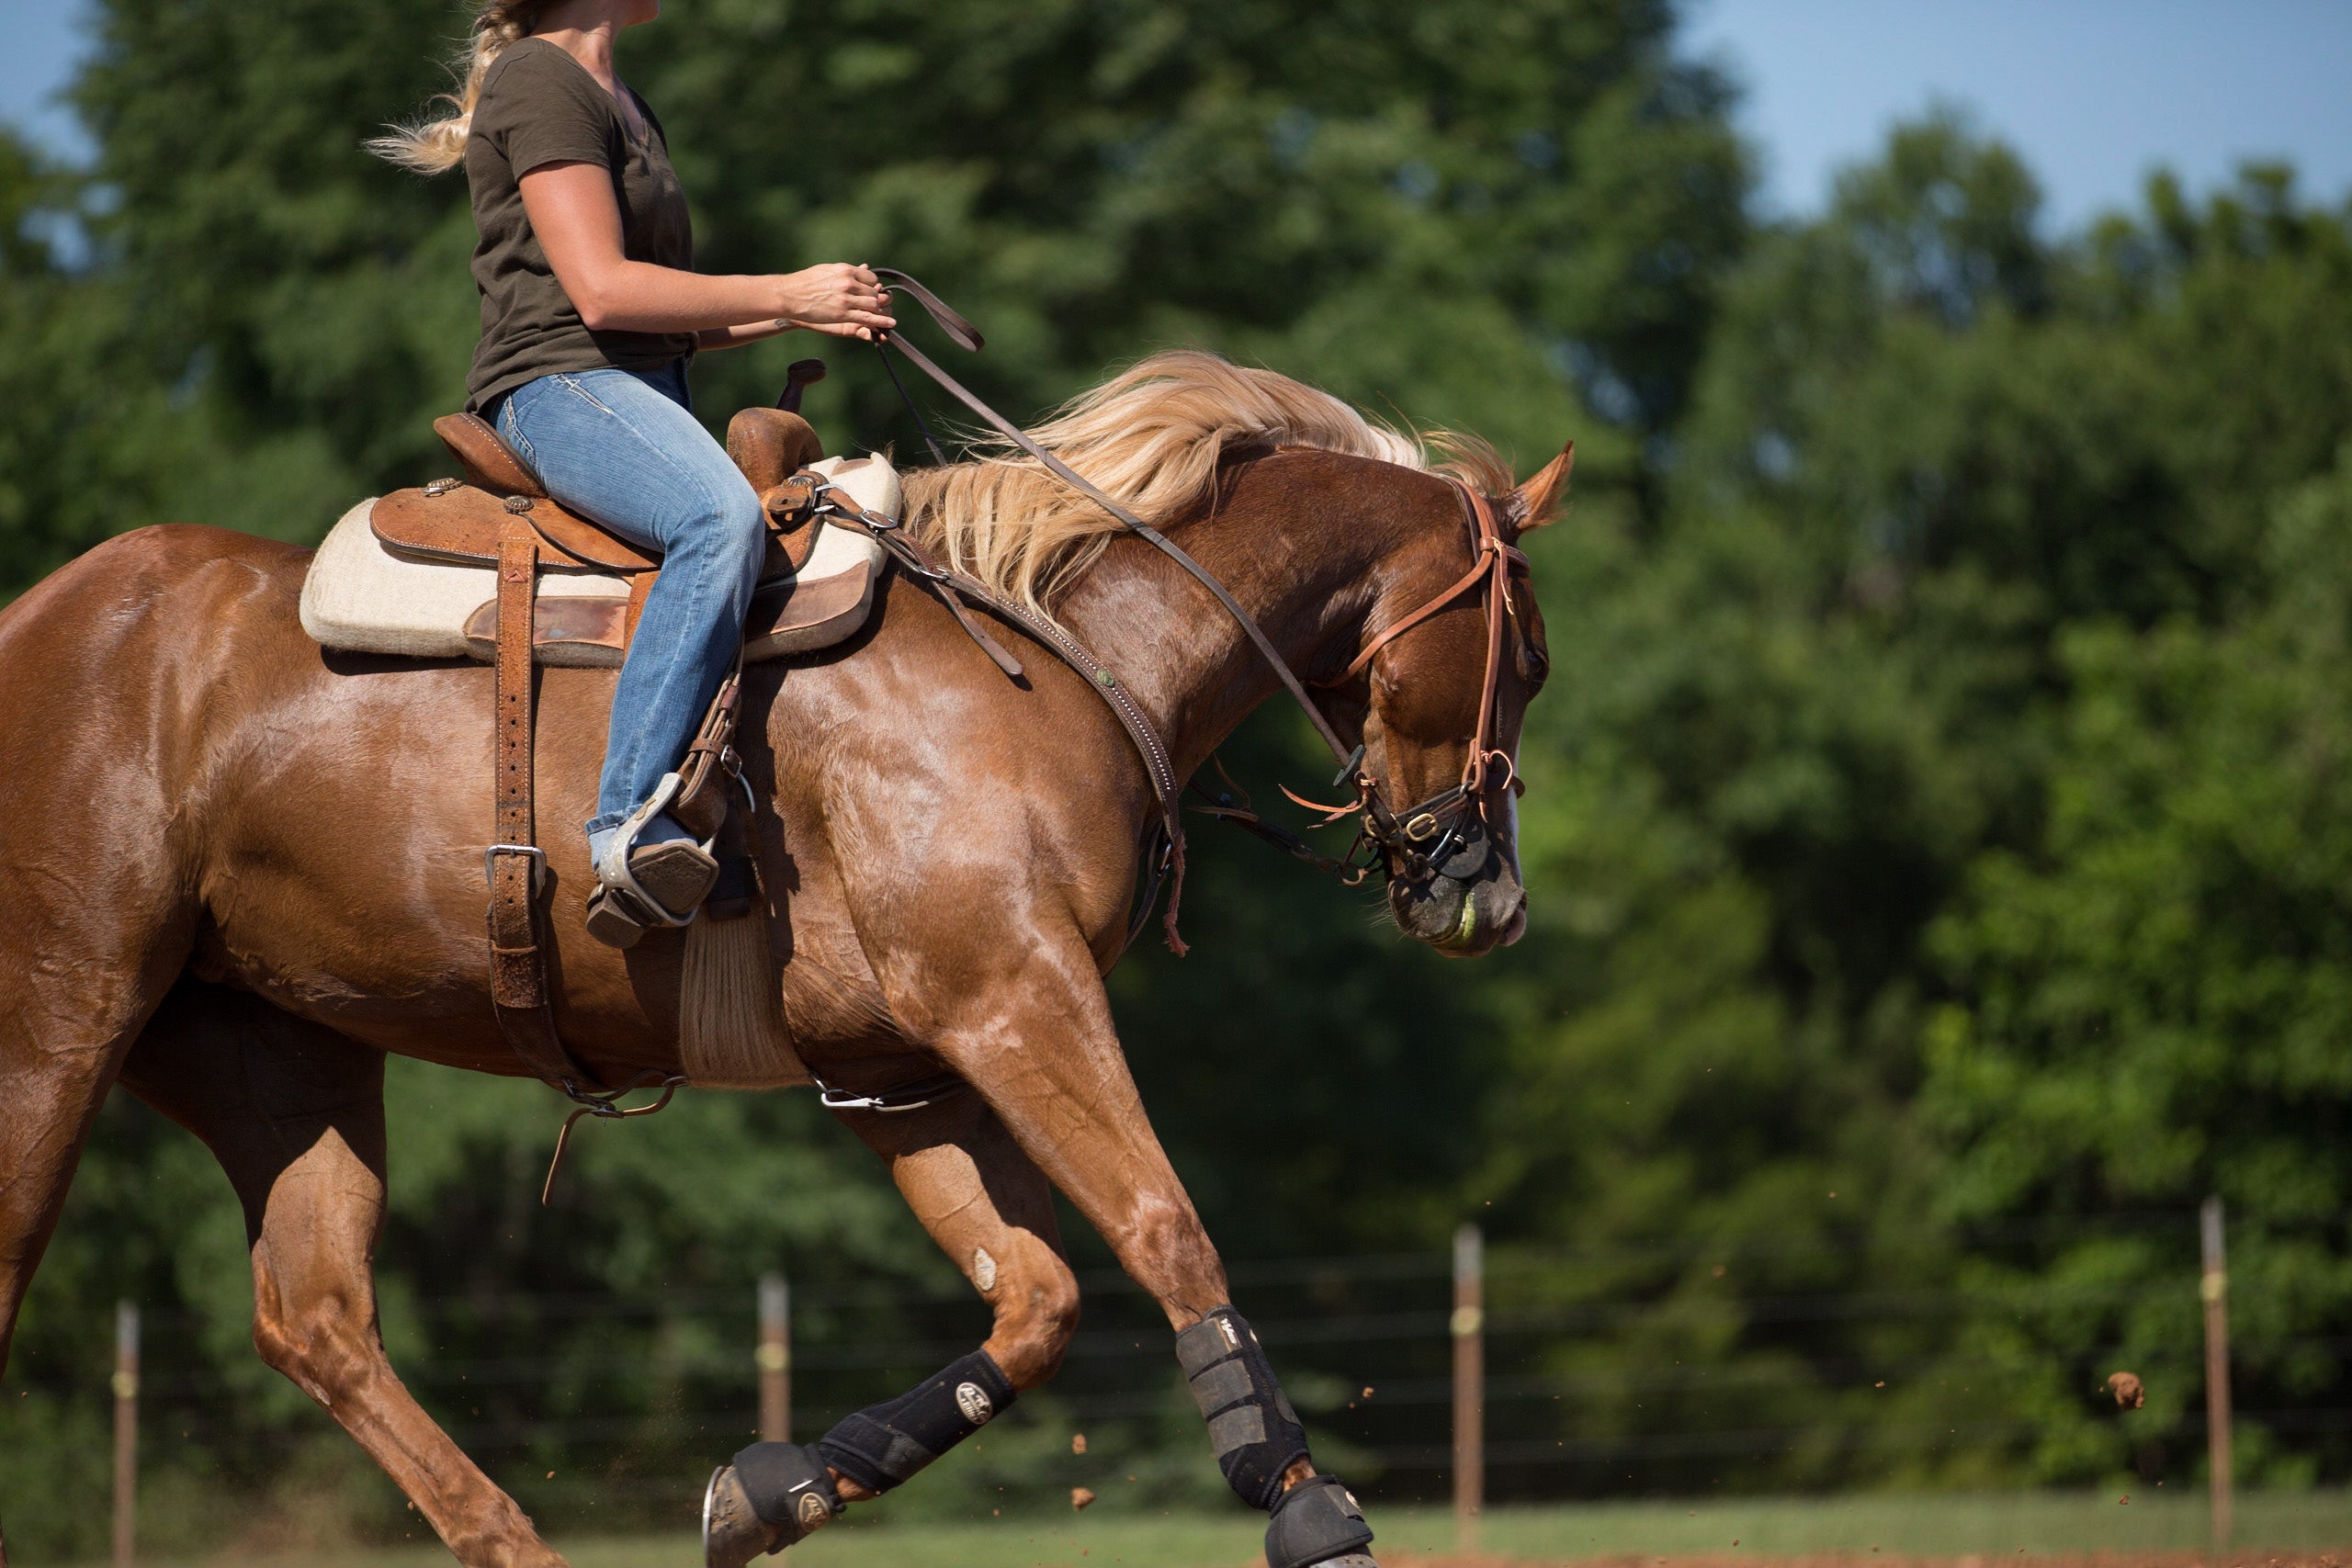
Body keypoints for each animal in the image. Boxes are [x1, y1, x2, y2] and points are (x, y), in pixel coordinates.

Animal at [0, 351, 1563, 1568]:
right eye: (1529, 656)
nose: (1487, 891)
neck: (1057, 646)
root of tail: (41, 616)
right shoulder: (1015, 999)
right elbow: (1165, 1229)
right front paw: (1309, 1505)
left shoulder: (901, 1068)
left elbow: (1037, 1297)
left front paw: (775, 1484)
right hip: (63, 1024)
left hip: (274, 1052)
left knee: (316, 1317)